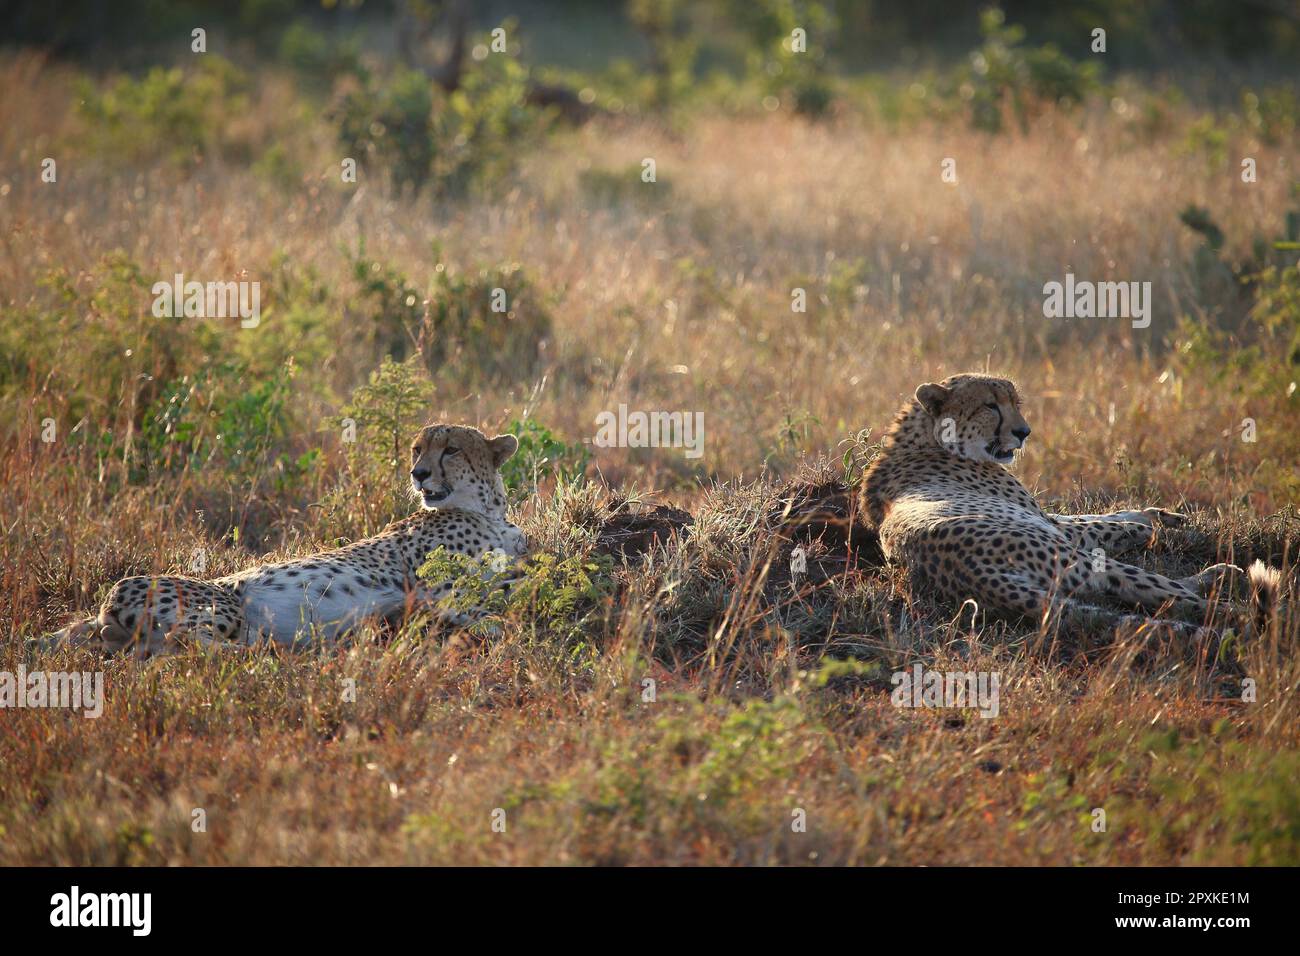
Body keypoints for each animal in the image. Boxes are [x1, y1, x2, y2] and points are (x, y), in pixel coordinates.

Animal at [43, 424, 528, 655]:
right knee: (189, 644)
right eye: (417, 449)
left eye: (451, 449)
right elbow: (491, 607)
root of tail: (106, 601)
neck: (485, 510)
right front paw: (504, 627)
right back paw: (276, 648)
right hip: (220, 606)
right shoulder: (440, 588)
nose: (418, 473)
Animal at [859, 372, 1278, 635]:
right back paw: (1243, 602)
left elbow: (1094, 515)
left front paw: (1156, 515)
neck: (929, 438)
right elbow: (1095, 523)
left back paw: (1219, 577)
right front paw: (1143, 524)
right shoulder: (1049, 524)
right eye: (990, 405)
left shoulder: (1050, 519)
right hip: (1081, 562)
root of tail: (968, 573)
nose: (1024, 432)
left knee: (1154, 596)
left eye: (1015, 402)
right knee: (1176, 596)